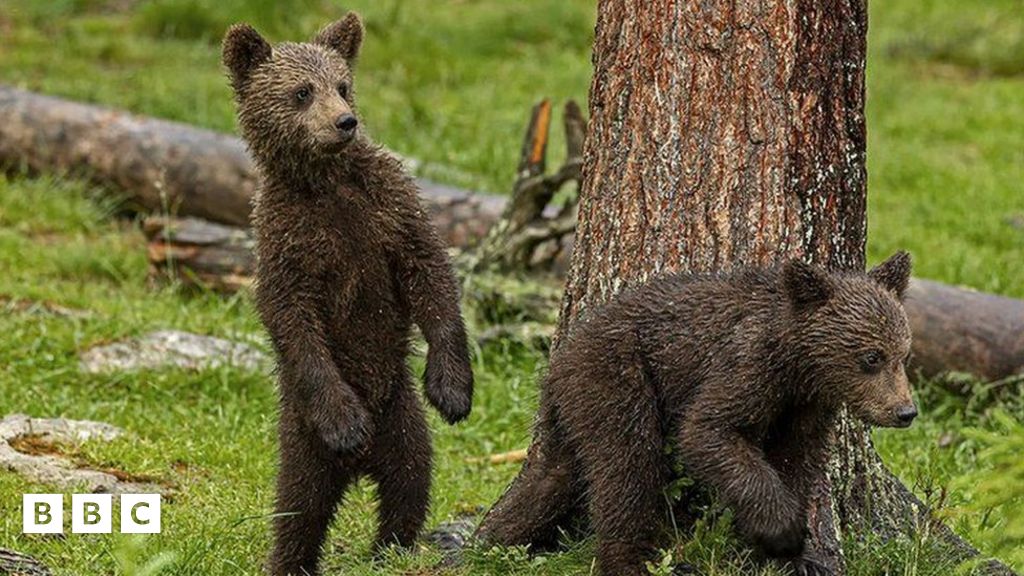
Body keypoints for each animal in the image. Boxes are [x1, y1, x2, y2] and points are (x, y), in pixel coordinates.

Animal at [222, 13, 474, 576]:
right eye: (301, 91)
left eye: (342, 85)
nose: (344, 122)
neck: (326, 180)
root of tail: (360, 467)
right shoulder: (285, 239)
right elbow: (291, 316)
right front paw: (345, 422)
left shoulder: (389, 208)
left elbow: (431, 274)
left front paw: (452, 389)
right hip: (302, 435)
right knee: (298, 510)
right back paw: (294, 554)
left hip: (402, 418)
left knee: (409, 486)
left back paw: (388, 547)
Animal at [478, 252, 916, 576]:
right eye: (871, 357)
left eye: (904, 354)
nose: (905, 411)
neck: (796, 364)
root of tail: (561, 355)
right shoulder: (745, 365)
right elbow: (709, 430)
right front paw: (783, 531)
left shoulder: (805, 406)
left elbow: (796, 460)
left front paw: (800, 559)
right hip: (619, 378)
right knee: (628, 466)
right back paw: (632, 561)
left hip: (573, 407)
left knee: (554, 474)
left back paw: (493, 539)